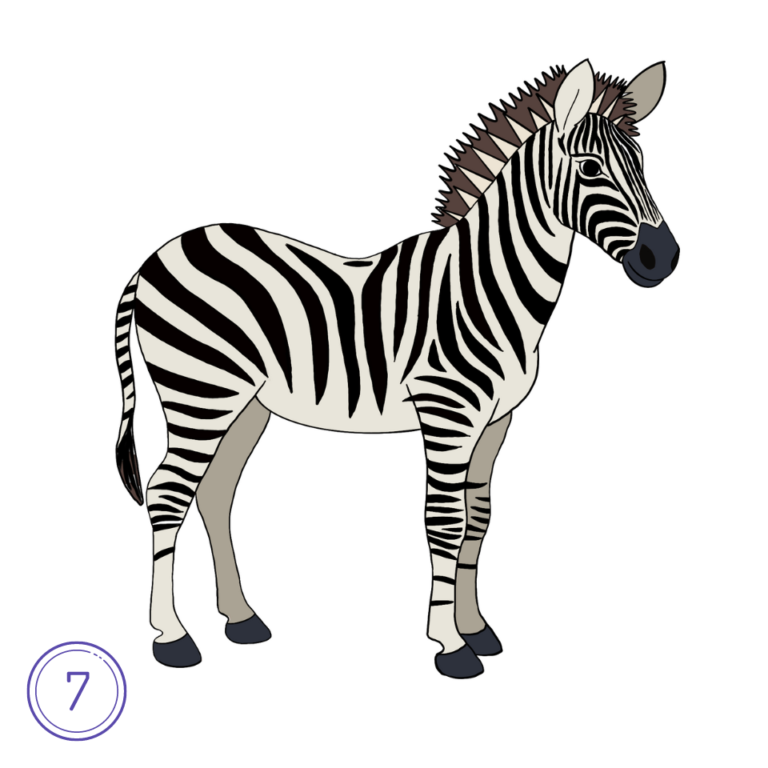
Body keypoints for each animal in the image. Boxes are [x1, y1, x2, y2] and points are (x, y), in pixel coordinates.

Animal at [115, 59, 679, 678]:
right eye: (590, 168)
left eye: (643, 166)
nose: (664, 259)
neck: (488, 283)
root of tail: (153, 258)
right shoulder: (448, 410)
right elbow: (445, 521)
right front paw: (450, 644)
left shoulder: (496, 420)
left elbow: (479, 516)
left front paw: (476, 628)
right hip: (200, 391)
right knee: (167, 492)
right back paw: (171, 636)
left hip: (245, 404)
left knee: (213, 493)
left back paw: (241, 619)